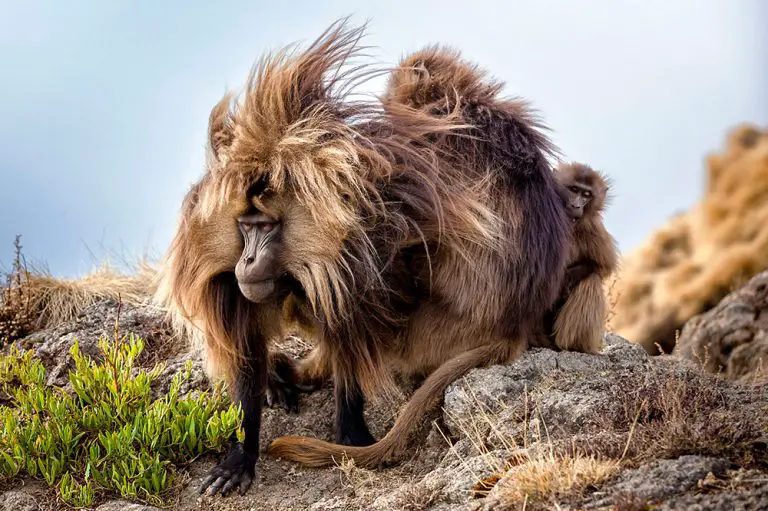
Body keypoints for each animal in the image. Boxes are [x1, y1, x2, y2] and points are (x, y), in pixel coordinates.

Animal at [156, 19, 571, 497]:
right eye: (247, 227)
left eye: (266, 227)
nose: (247, 262)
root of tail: (513, 329)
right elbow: (244, 343)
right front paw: (242, 451)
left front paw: (349, 432)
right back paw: (284, 376)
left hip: (425, 335)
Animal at [540, 162, 619, 354]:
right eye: (574, 189)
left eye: (586, 195)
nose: (576, 206)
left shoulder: (592, 227)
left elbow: (601, 266)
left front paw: (567, 279)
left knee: (591, 280)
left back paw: (571, 345)